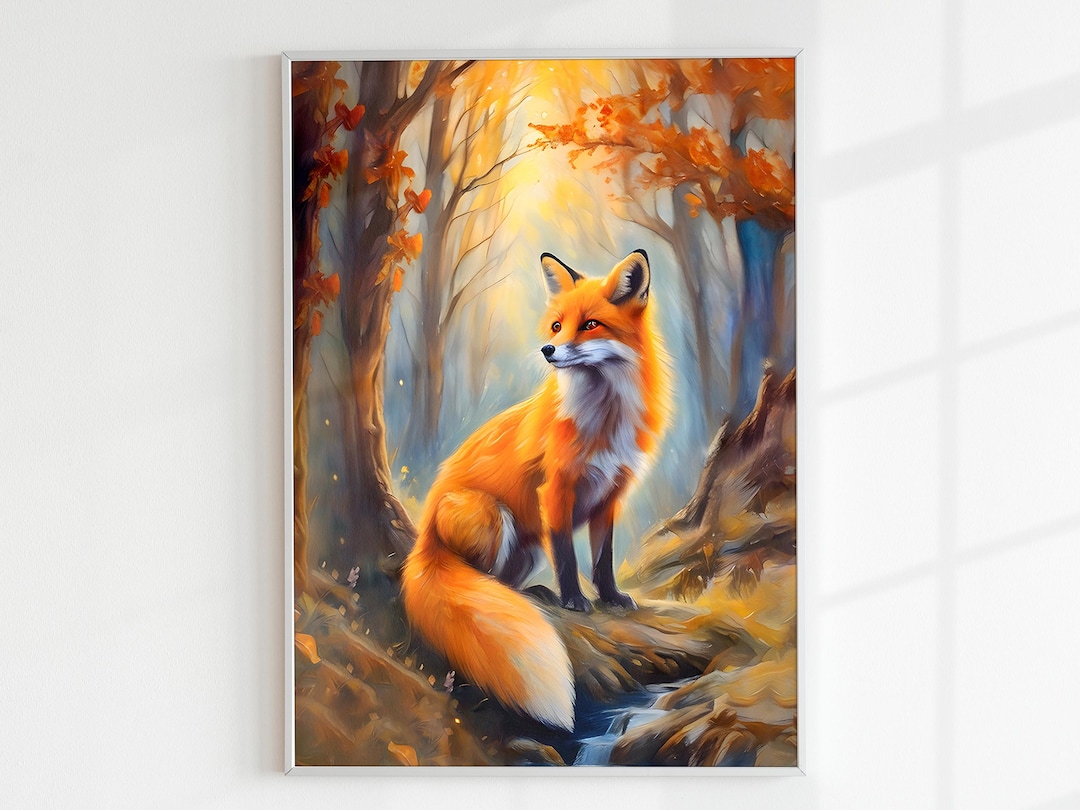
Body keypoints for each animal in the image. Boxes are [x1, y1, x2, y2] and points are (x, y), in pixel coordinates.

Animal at [401, 249, 670, 732]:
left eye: (591, 324)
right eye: (557, 326)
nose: (548, 350)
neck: (604, 421)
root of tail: (422, 541)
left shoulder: (610, 494)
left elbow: (602, 558)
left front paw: (609, 598)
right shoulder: (557, 491)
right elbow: (566, 554)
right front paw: (574, 601)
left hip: (526, 550)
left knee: (507, 580)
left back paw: (534, 594)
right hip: (492, 515)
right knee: (483, 579)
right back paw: (529, 596)